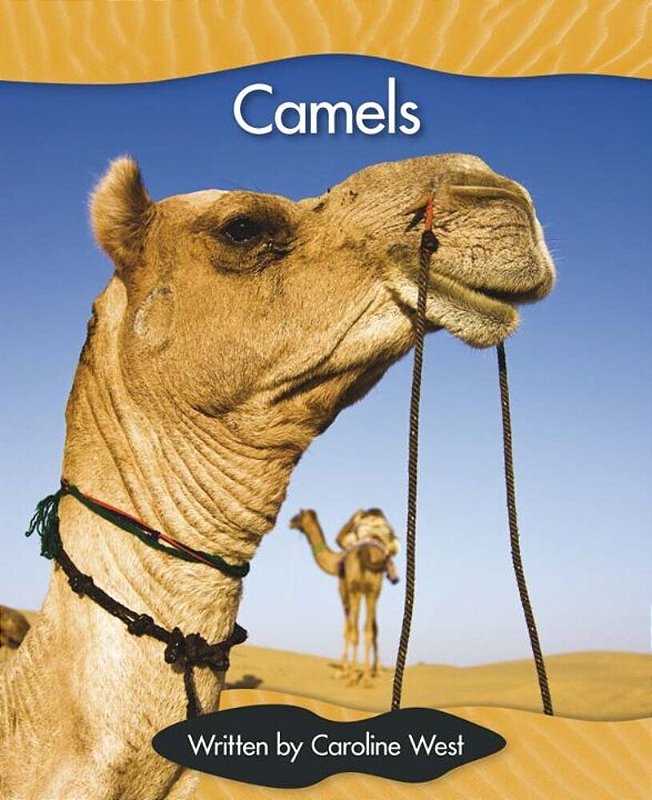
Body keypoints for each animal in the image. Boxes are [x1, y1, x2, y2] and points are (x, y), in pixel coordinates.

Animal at [289, 508, 399, 682]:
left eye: (299, 516)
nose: (290, 522)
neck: (336, 563)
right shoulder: (368, 592)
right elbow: (372, 628)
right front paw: (371, 670)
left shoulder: (344, 590)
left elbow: (347, 629)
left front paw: (342, 670)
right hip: (373, 589)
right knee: (369, 629)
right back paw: (368, 676)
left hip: (355, 590)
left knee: (355, 629)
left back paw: (354, 675)